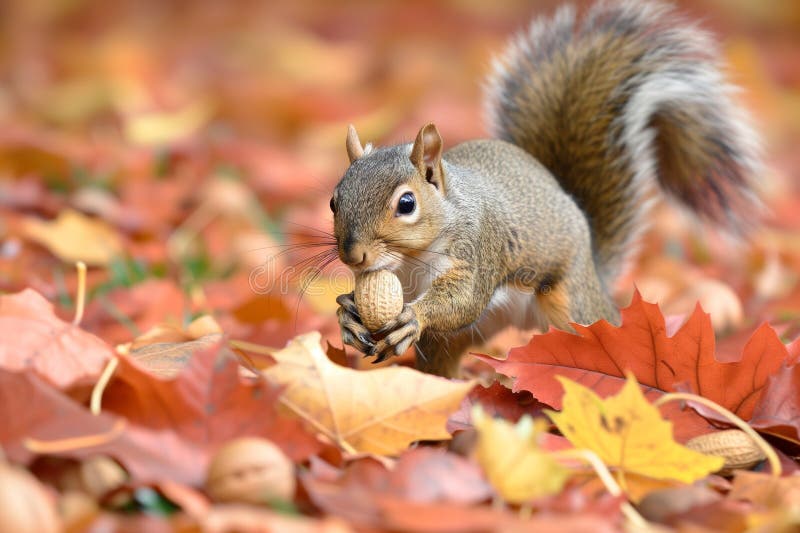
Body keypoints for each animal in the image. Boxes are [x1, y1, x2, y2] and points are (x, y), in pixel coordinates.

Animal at [330, 0, 761, 377]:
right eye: (334, 201)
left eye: (407, 203)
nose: (353, 255)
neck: (409, 261)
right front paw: (347, 314)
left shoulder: (478, 248)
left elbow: (463, 299)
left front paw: (413, 317)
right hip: (459, 338)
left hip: (573, 307)